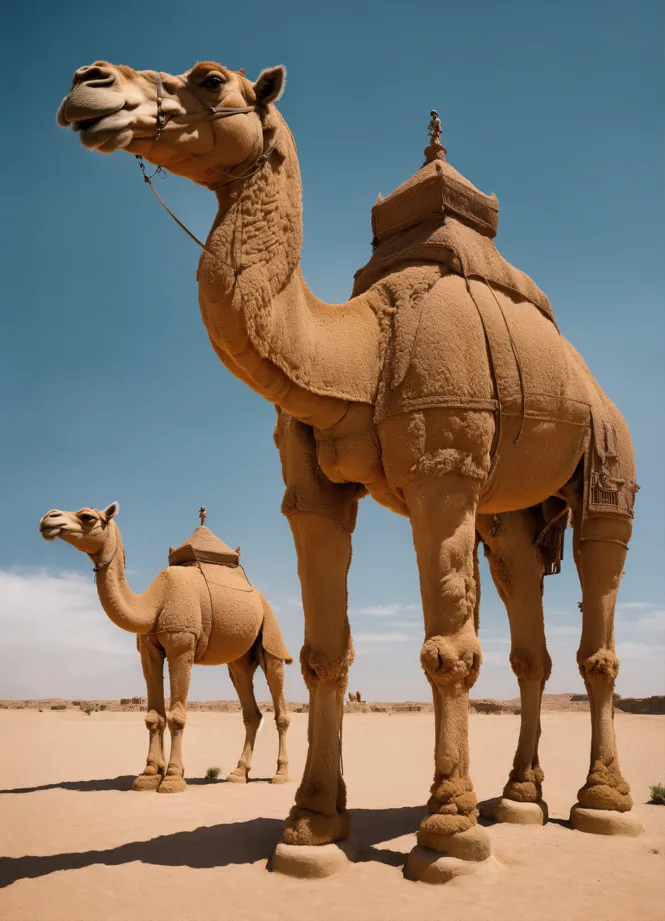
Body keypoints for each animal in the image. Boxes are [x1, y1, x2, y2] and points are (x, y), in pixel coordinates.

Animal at [38, 502, 292, 791]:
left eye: (88, 517)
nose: (48, 519)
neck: (153, 605)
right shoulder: (149, 652)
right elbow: (154, 716)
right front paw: (148, 775)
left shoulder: (181, 646)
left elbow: (176, 716)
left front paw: (172, 778)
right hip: (238, 659)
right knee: (250, 710)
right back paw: (238, 774)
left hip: (270, 632)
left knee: (279, 703)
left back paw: (280, 774)